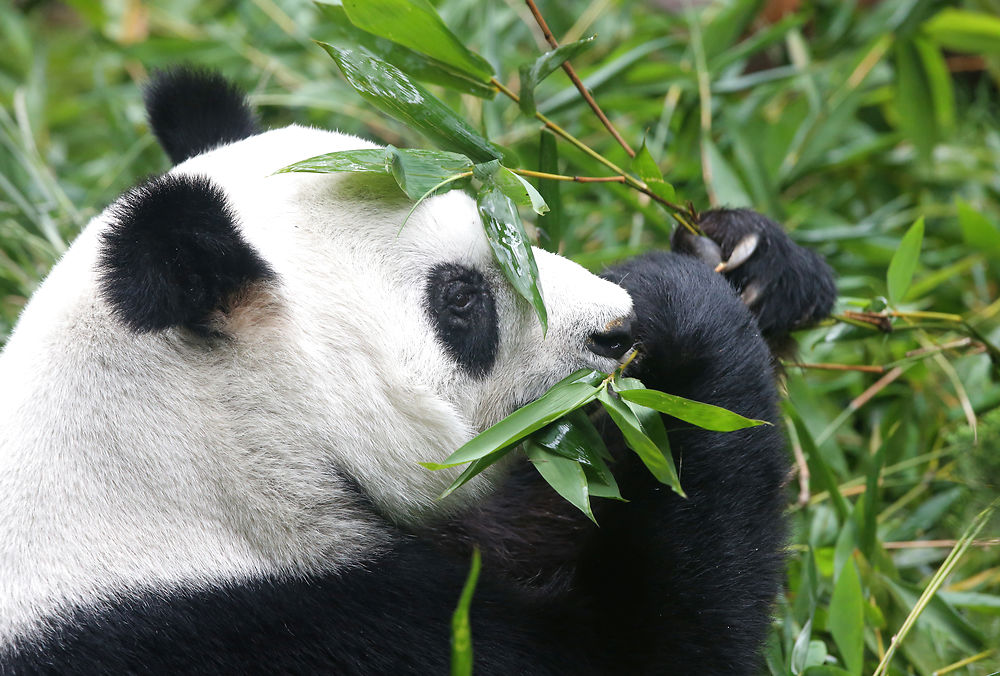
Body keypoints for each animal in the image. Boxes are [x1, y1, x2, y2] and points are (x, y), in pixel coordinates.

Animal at [0, 68, 835, 675]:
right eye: (460, 300)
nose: (613, 327)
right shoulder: (245, 630)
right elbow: (650, 648)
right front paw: (683, 305)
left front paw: (748, 260)